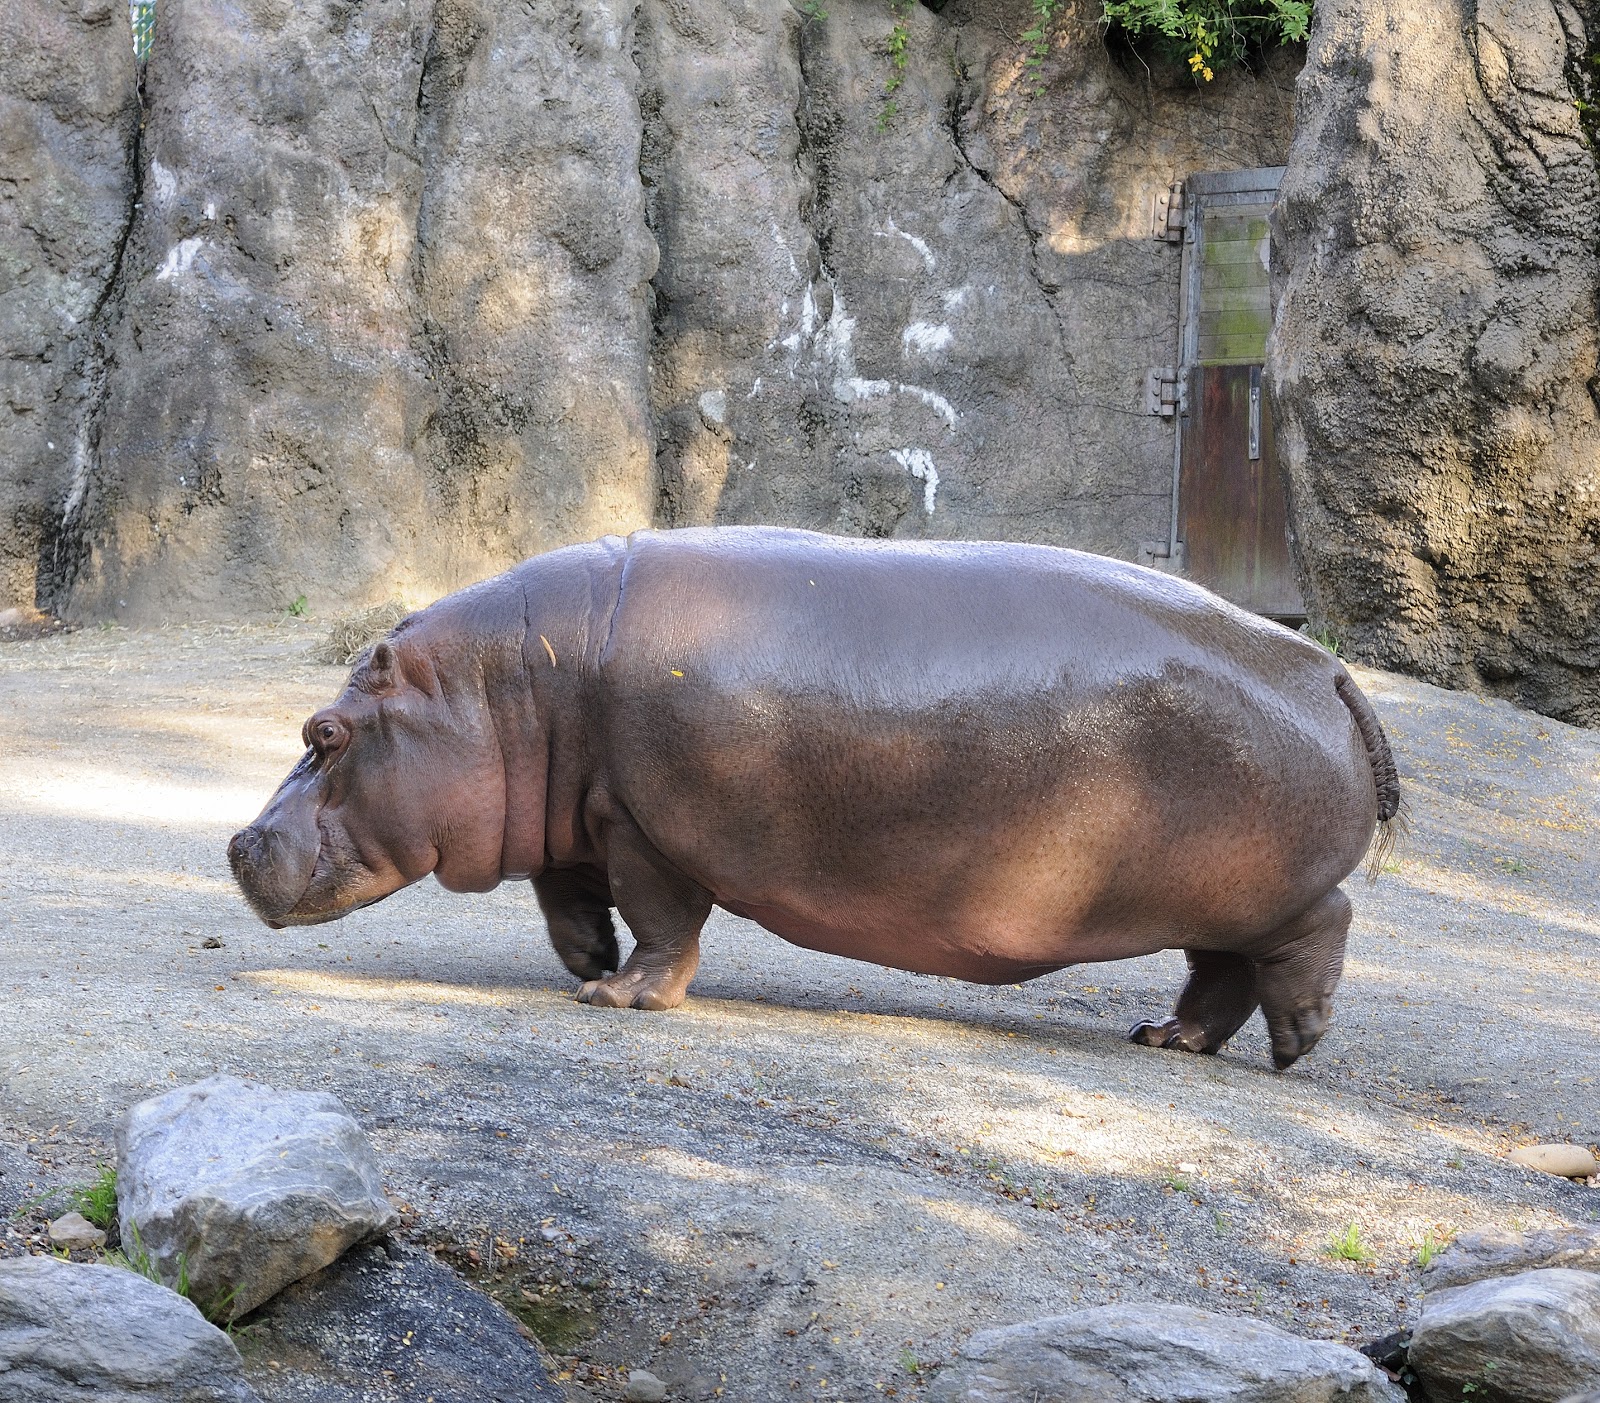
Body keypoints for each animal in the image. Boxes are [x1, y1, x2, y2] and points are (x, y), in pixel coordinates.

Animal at [229, 526, 1400, 1069]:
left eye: (324, 734)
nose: (238, 844)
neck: (503, 687)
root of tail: (1327, 667)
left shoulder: (644, 825)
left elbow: (662, 917)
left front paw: (618, 998)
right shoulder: (584, 811)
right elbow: (566, 896)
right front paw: (587, 964)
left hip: (1273, 890)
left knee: (1320, 929)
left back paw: (1296, 1045)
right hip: (1220, 898)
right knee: (1218, 973)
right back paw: (1165, 1038)